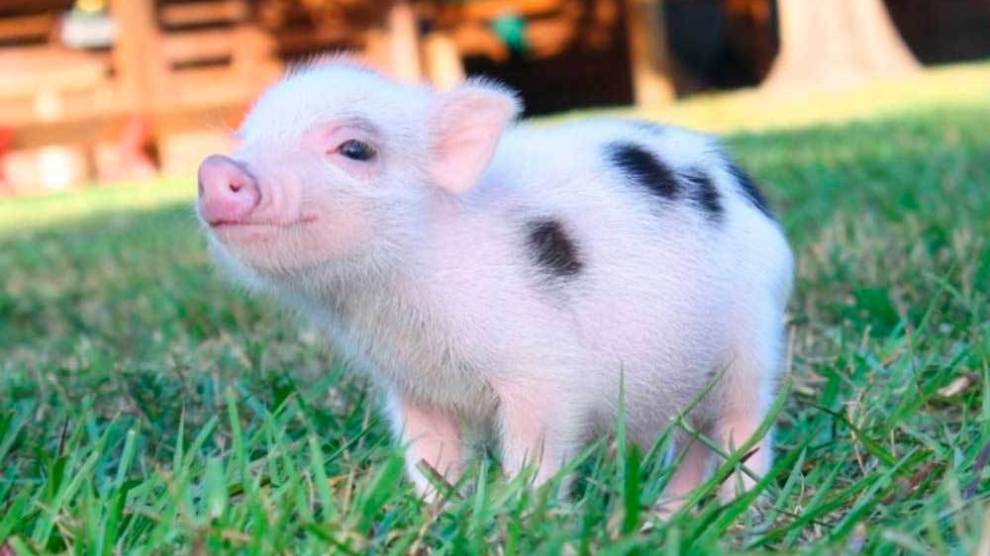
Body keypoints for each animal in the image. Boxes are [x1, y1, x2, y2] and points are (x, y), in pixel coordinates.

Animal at [196, 60, 793, 509]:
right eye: (246, 138)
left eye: (355, 149)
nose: (217, 169)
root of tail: (742, 184)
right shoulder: (410, 385)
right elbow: (429, 457)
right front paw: (436, 515)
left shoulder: (544, 371)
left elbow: (535, 448)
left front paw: (519, 515)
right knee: (690, 442)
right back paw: (667, 516)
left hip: (751, 338)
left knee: (743, 426)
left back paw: (744, 514)